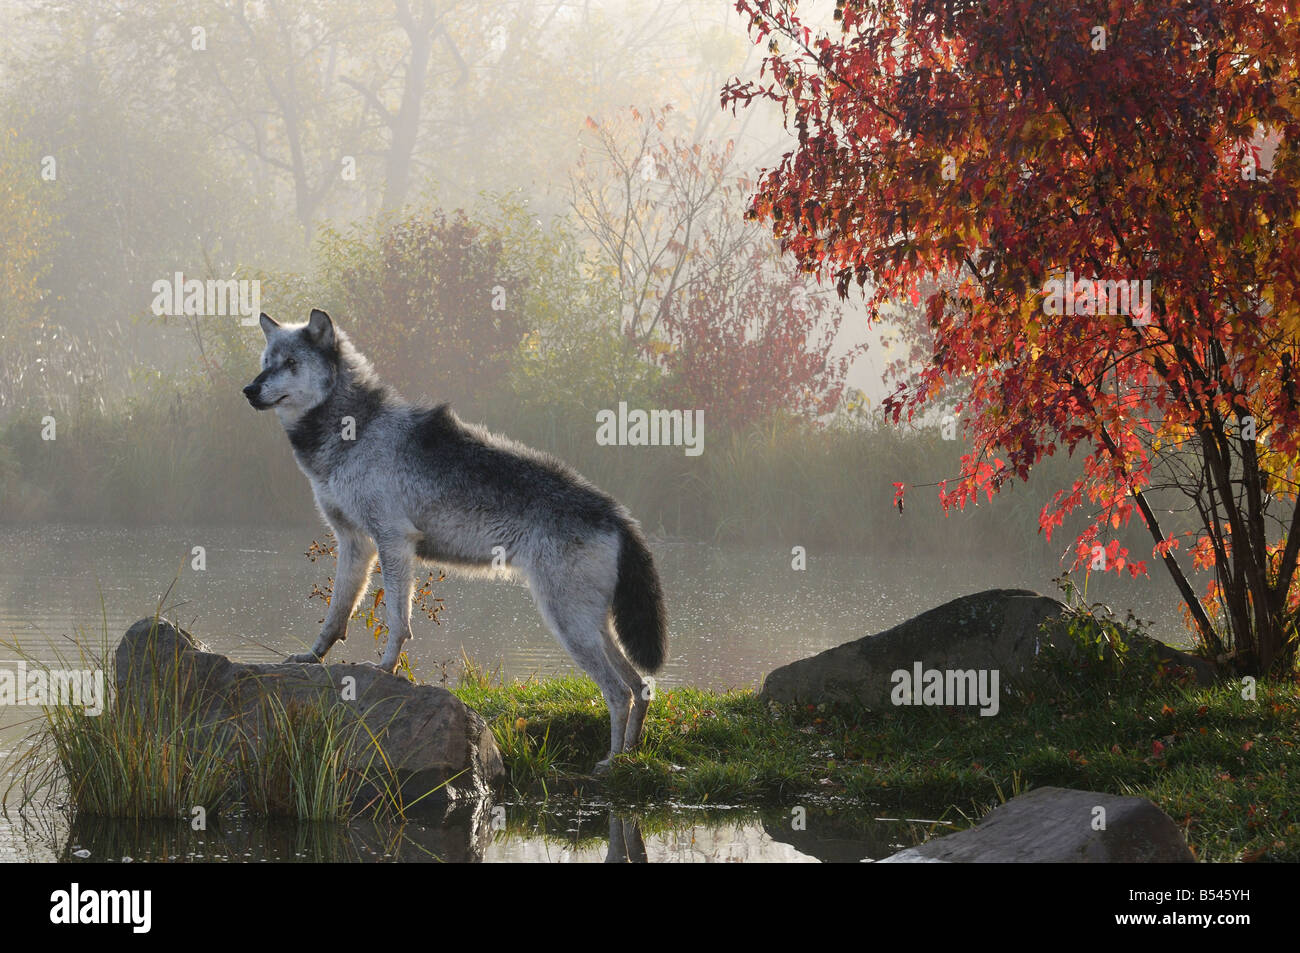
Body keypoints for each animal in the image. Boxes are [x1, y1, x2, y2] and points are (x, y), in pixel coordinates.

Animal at [243, 309, 667, 770]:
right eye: (266, 362)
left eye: (290, 364)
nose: (249, 389)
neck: (356, 430)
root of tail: (619, 515)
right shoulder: (356, 543)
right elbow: (335, 615)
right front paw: (312, 658)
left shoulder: (393, 541)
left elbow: (398, 619)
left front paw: (385, 668)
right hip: (592, 627)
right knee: (641, 686)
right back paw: (630, 758)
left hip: (570, 625)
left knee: (620, 692)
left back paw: (610, 764)